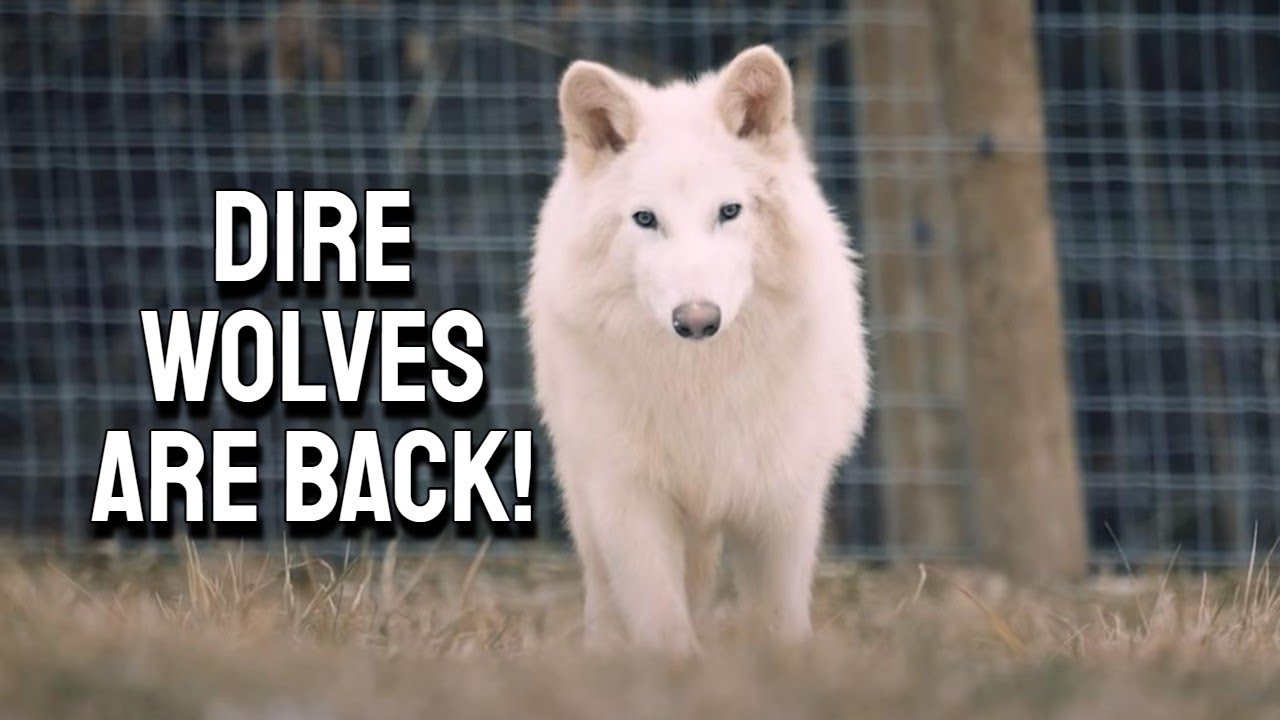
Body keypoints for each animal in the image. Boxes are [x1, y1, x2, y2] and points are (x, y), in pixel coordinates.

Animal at [525, 45, 871, 653]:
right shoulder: (629, 500)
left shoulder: (783, 503)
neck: (701, 382)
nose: (696, 320)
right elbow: (664, 627)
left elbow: (780, 622)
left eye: (729, 211)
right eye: (646, 219)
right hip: (587, 499)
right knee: (607, 598)